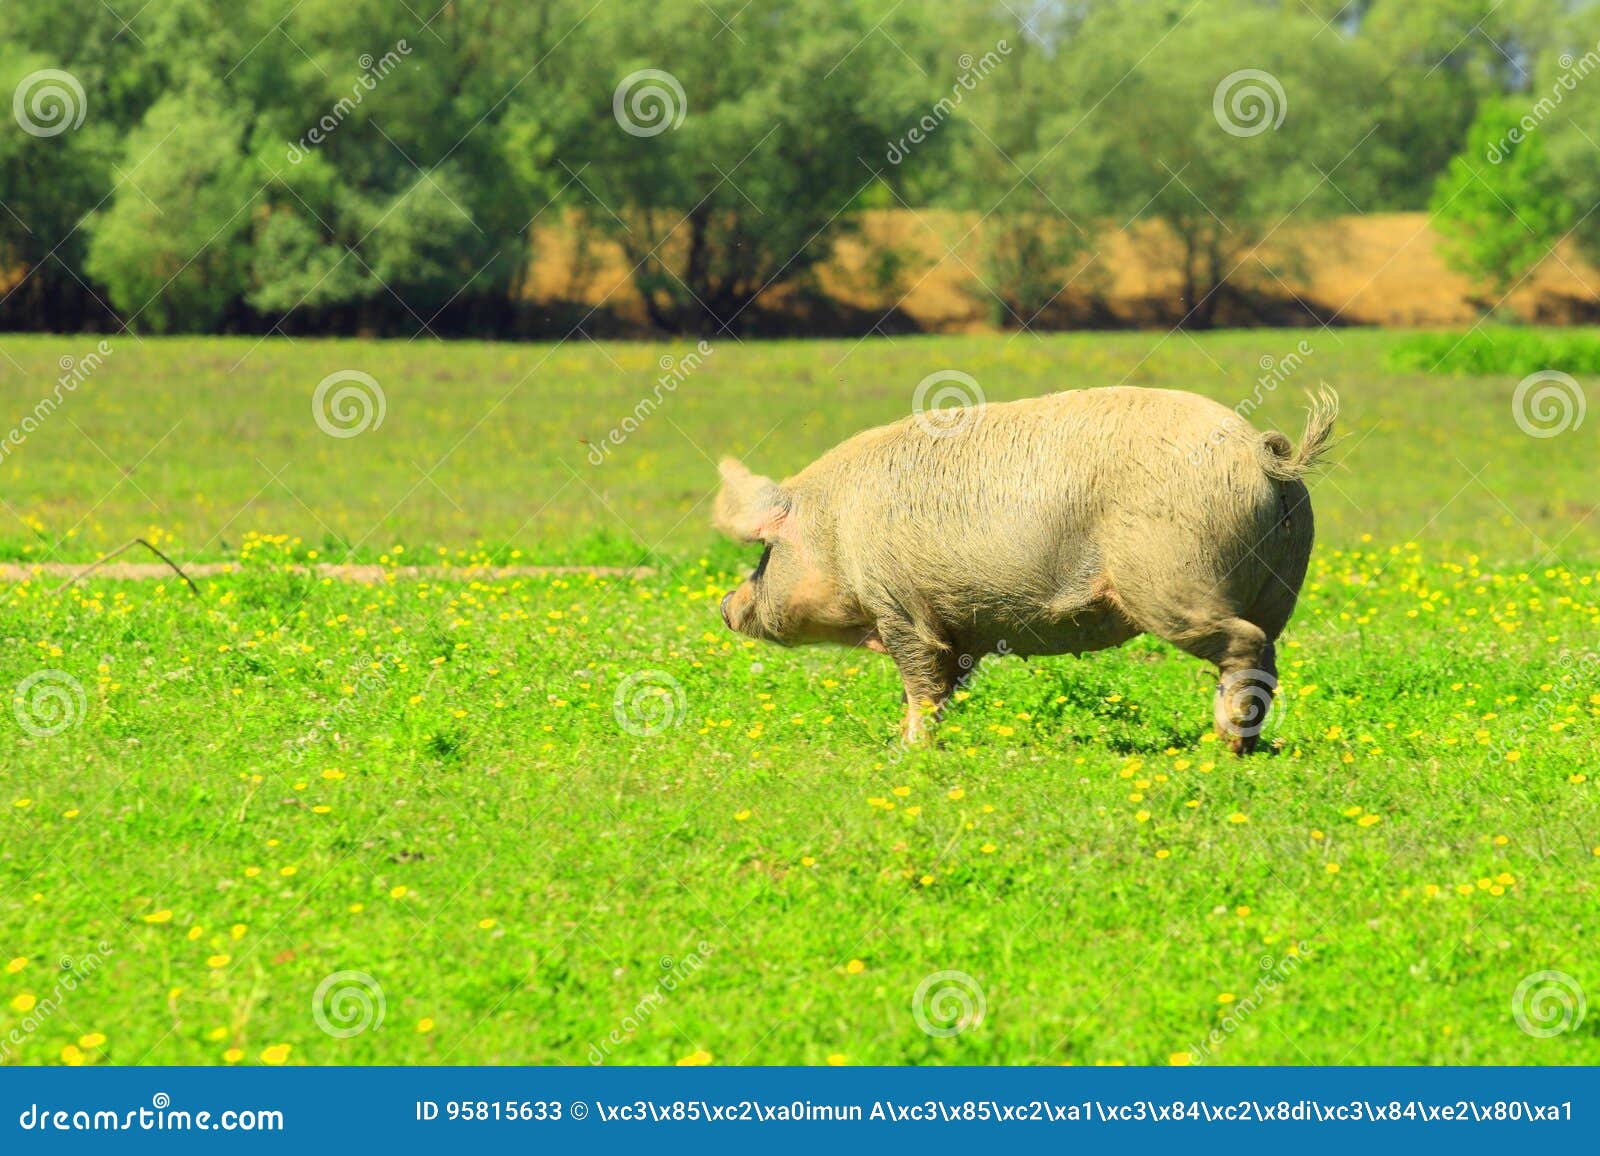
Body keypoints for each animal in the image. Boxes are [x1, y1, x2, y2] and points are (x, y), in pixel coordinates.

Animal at [714, 385, 1338, 754]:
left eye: (766, 553)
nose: (724, 606)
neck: (836, 528)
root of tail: (1265, 455)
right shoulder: (955, 627)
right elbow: (946, 686)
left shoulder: (899, 608)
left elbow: (920, 681)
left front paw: (906, 751)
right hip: (1281, 583)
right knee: (1269, 655)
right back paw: (1249, 747)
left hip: (1172, 580)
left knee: (1243, 645)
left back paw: (1223, 746)